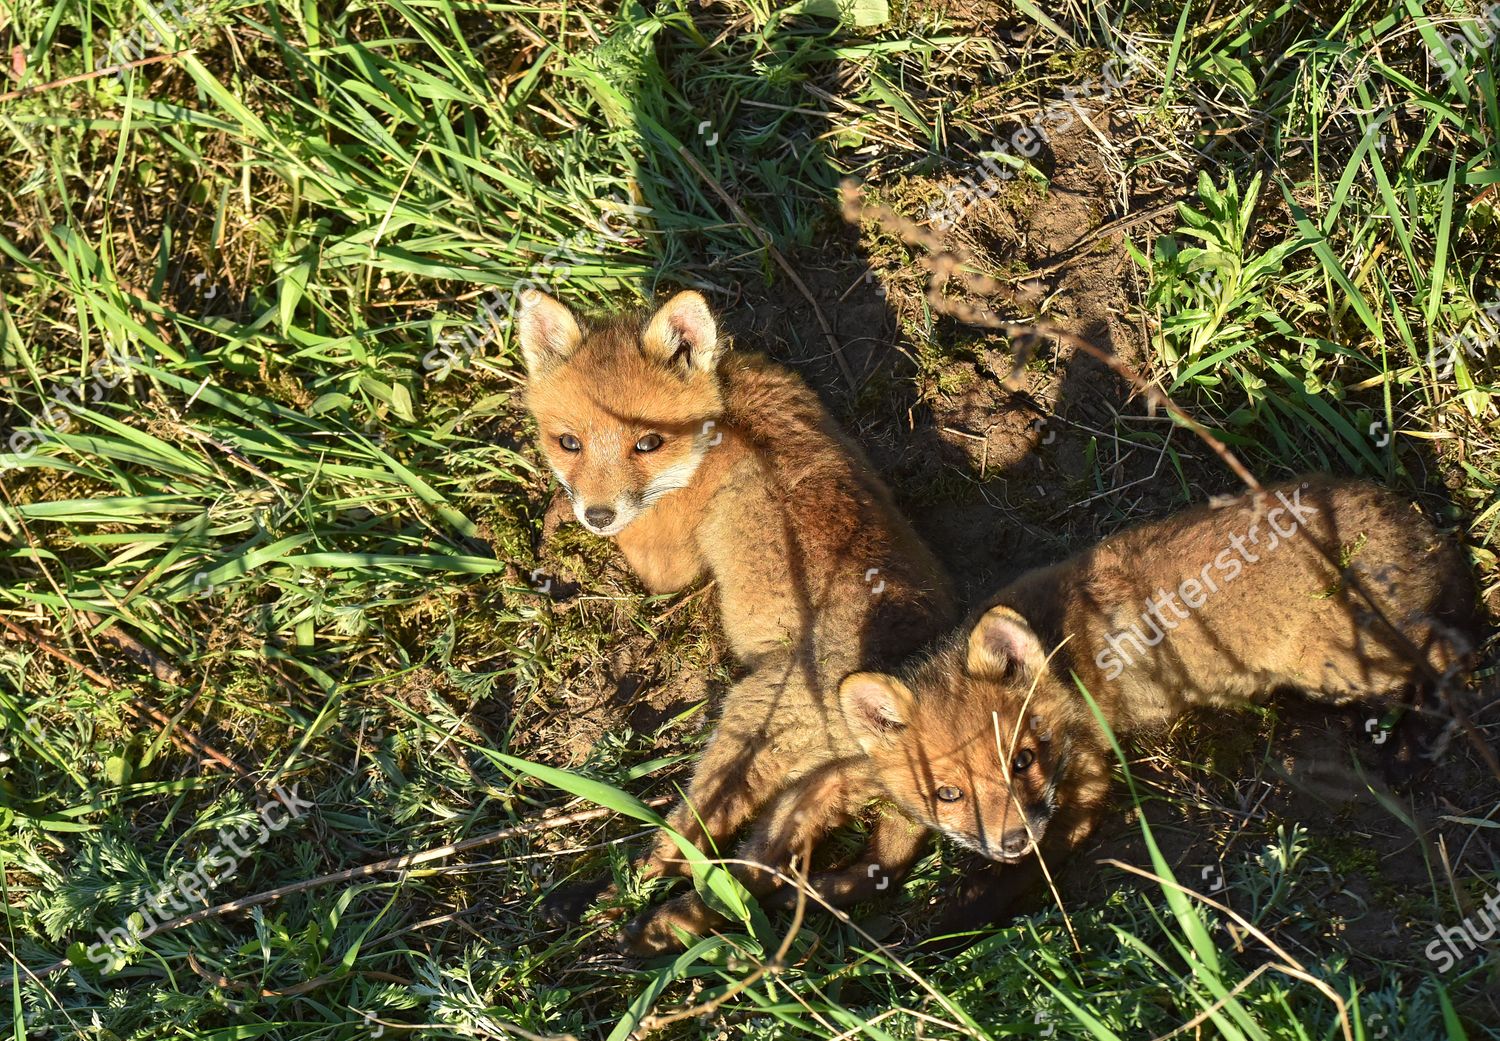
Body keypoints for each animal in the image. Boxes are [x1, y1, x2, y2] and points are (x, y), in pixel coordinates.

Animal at [518, 288, 956, 953]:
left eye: (648, 443)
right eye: (568, 442)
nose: (598, 514)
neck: (723, 418)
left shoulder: (665, 562)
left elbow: (635, 558)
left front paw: (549, 524)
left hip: (742, 736)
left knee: (682, 848)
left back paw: (616, 913)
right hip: (802, 798)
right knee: (761, 874)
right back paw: (653, 922)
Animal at [823, 475, 1478, 928]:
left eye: (1023, 760)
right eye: (948, 793)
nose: (1011, 840)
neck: (1061, 659)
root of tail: (1411, 518)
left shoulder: (1086, 778)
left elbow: (1037, 866)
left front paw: (960, 916)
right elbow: (890, 846)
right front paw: (834, 889)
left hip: (1340, 665)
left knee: (1449, 654)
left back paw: (1414, 748)